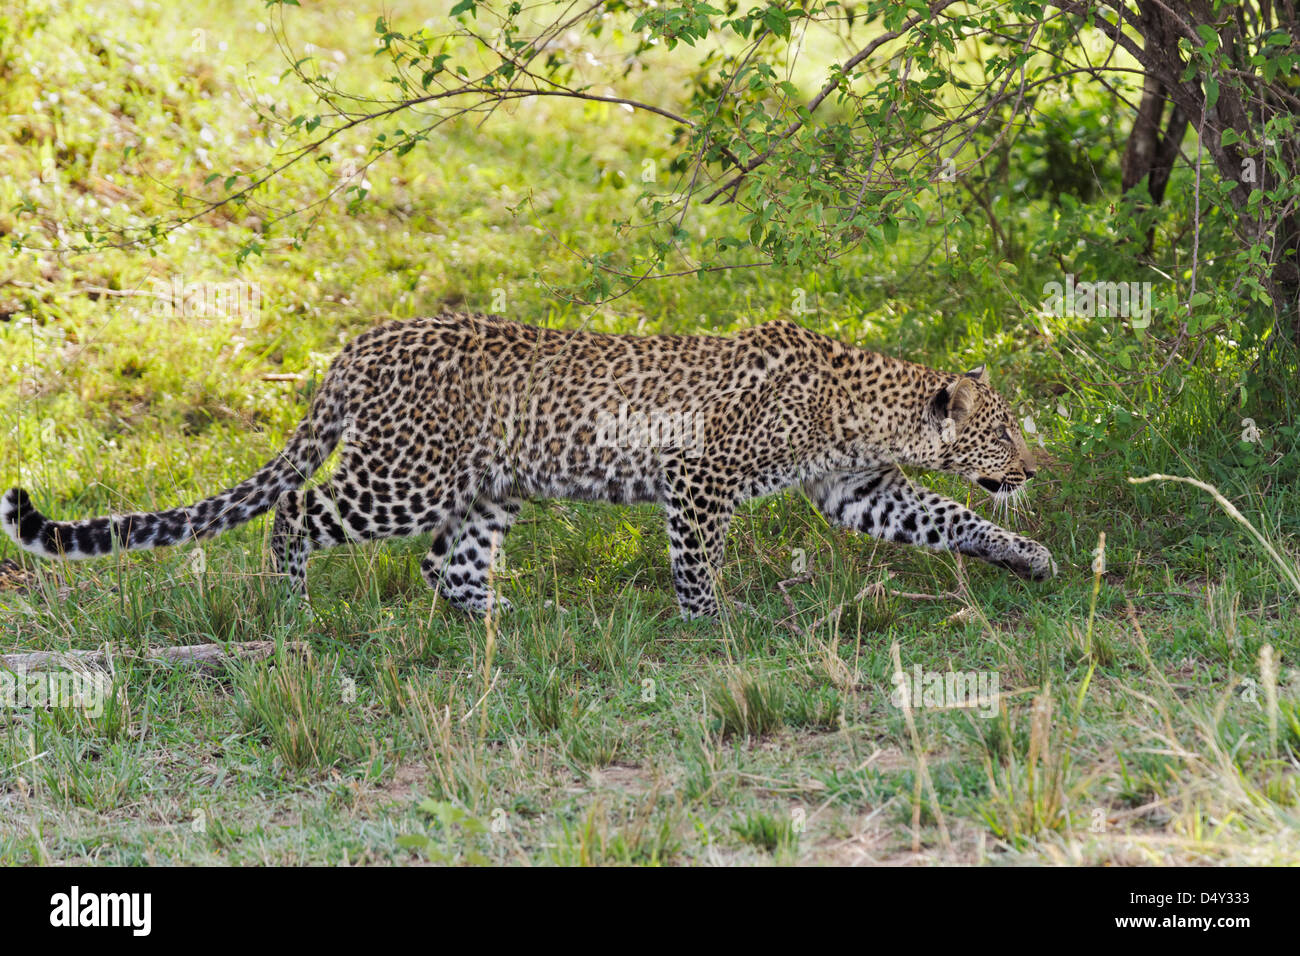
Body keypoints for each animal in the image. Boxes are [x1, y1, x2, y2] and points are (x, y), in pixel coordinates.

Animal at [2, 312, 1056, 619]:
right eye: (1003, 433)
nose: (1035, 469)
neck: (865, 412)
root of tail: (362, 343)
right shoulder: (701, 478)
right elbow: (697, 558)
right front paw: (713, 626)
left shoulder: (858, 489)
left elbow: (951, 518)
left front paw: (1029, 556)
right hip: (403, 475)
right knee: (296, 510)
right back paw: (293, 609)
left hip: (484, 488)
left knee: (447, 563)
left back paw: (509, 624)